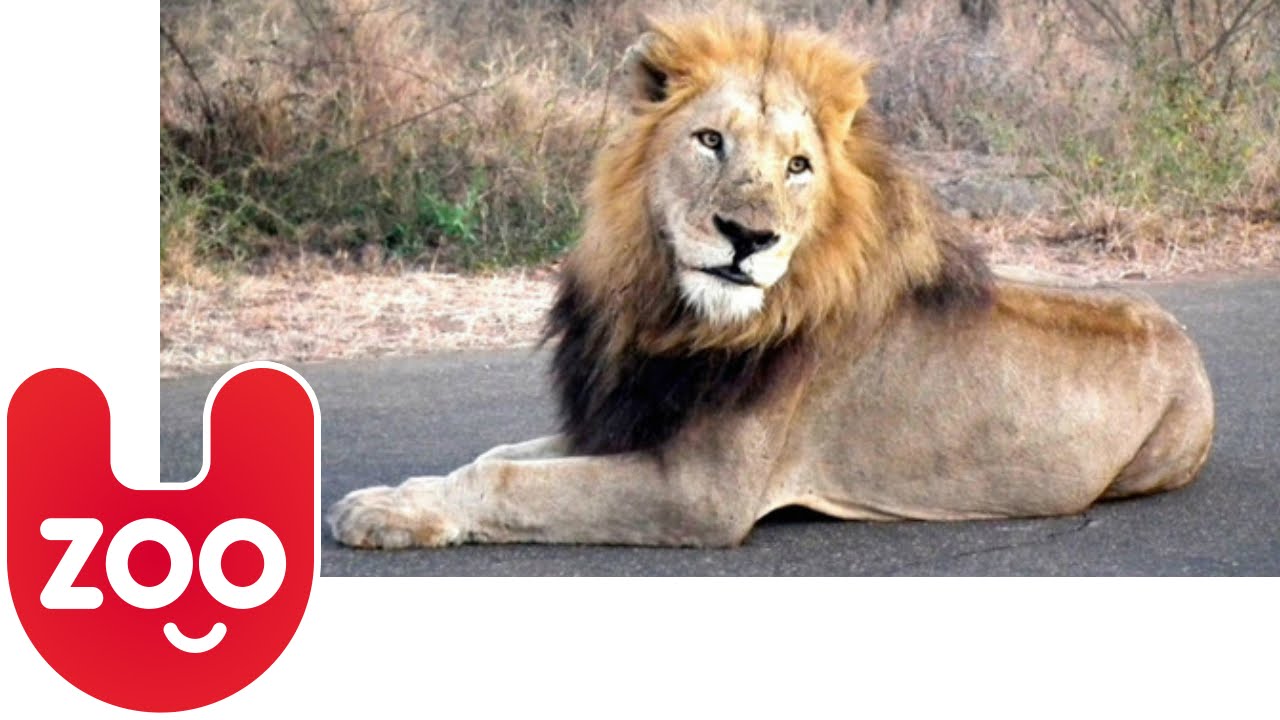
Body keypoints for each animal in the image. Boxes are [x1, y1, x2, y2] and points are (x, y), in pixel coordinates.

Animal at [328, 14, 1214, 549]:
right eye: (709, 140)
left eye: (798, 166)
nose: (749, 238)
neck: (670, 312)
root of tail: (1181, 332)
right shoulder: (627, 420)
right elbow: (493, 453)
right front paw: (395, 497)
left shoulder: (703, 492)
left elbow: (505, 476)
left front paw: (385, 513)